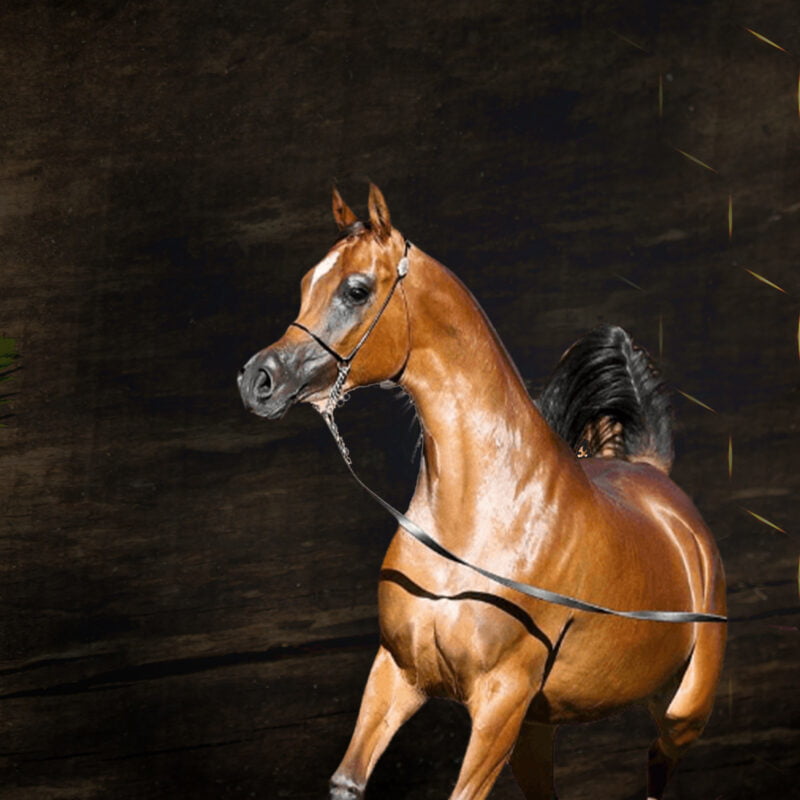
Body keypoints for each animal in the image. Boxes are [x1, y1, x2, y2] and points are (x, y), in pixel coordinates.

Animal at [237, 184, 726, 800]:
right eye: (307, 283)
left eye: (356, 289)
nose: (258, 380)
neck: (482, 521)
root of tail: (653, 474)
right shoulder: (397, 672)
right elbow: (349, 779)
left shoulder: (501, 699)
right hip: (539, 727)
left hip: (682, 713)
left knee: (660, 761)